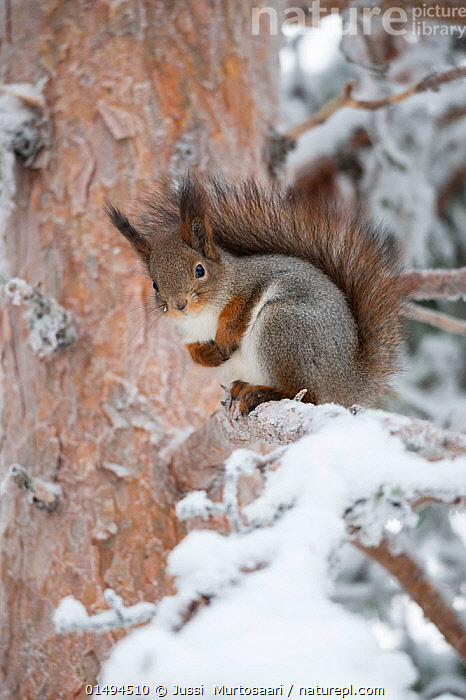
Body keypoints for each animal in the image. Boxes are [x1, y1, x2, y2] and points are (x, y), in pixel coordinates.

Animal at [107, 173, 406, 416]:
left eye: (199, 270)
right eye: (155, 284)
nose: (179, 305)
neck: (202, 316)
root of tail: (348, 383)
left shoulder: (253, 282)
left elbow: (241, 309)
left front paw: (225, 338)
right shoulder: (185, 333)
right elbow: (192, 350)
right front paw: (208, 354)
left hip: (283, 329)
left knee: (306, 394)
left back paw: (261, 394)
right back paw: (242, 387)